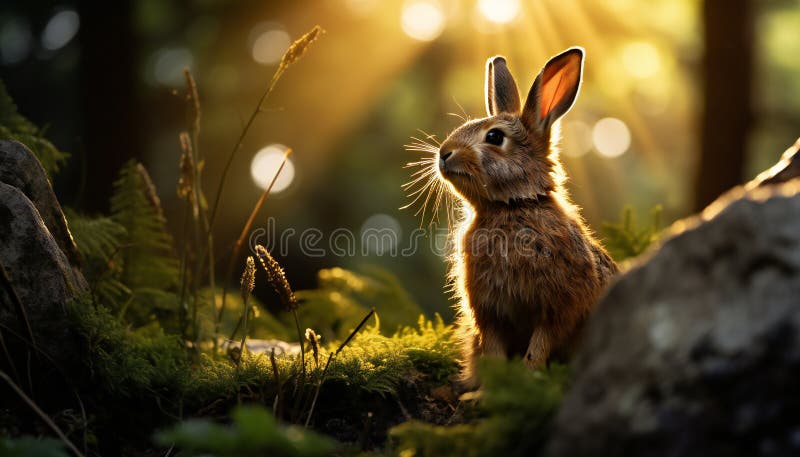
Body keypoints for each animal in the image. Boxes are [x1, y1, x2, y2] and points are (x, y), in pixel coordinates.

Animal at [411, 48, 618, 386]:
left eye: (495, 137)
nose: (443, 153)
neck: (510, 207)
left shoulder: (559, 304)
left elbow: (542, 342)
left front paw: (528, 377)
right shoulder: (489, 311)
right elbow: (494, 347)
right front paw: (492, 386)